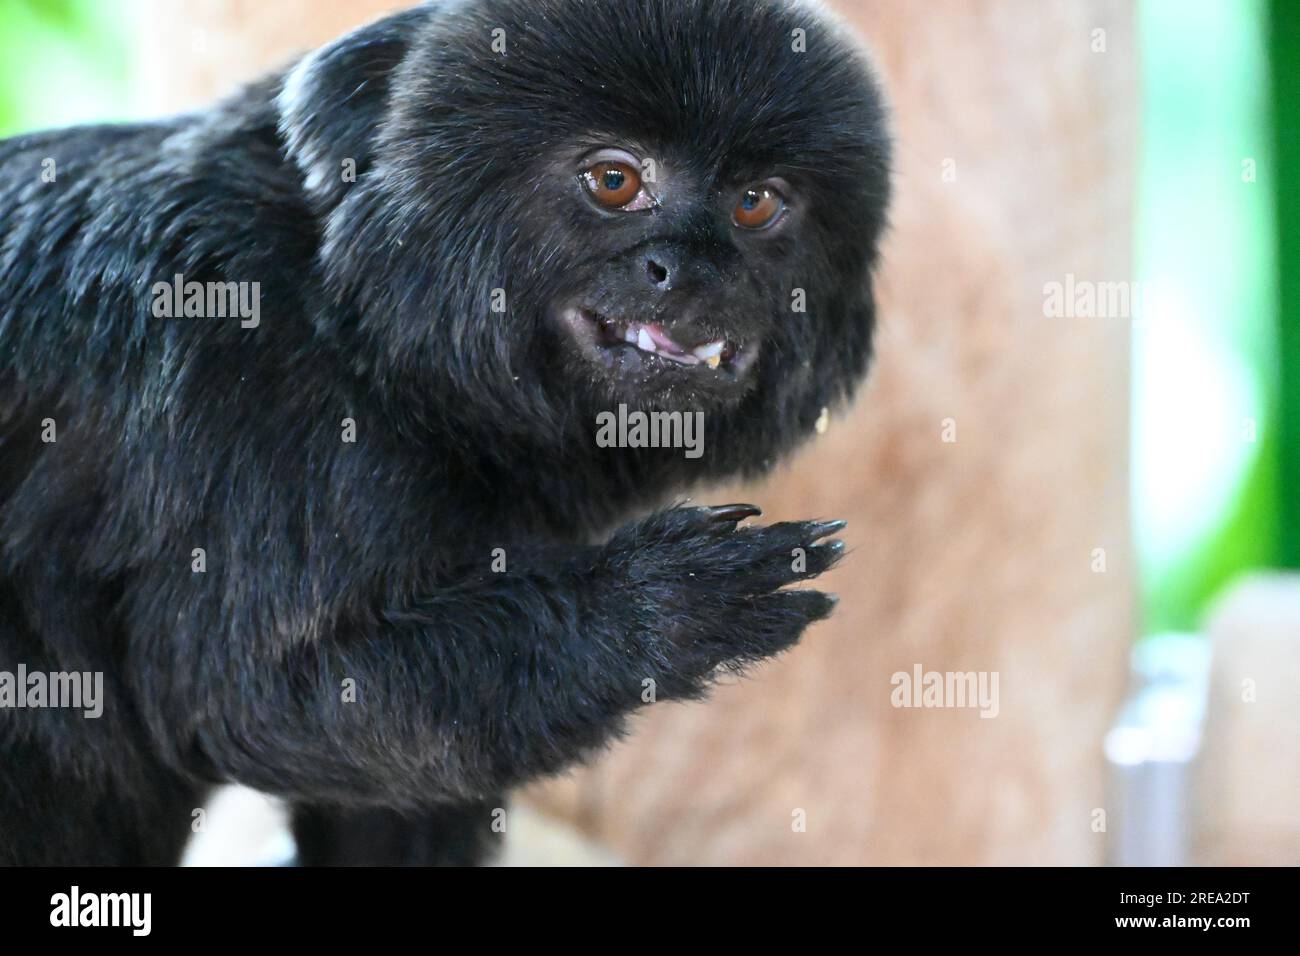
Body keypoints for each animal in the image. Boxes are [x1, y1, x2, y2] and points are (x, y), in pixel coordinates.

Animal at [0, 0, 890, 865]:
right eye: (615, 181)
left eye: (756, 203)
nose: (697, 274)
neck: (348, 321)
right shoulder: (231, 367)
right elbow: (250, 697)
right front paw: (657, 610)